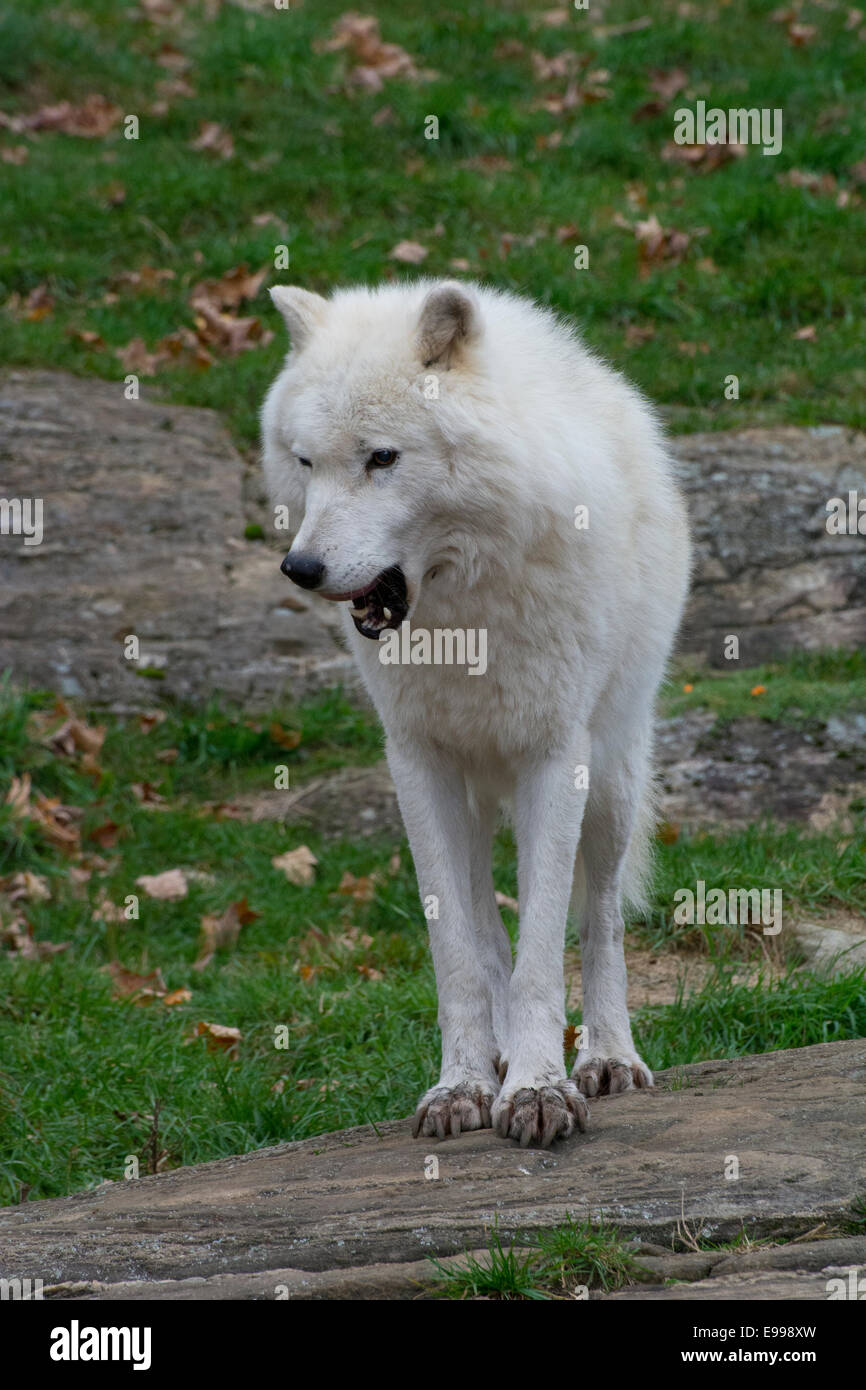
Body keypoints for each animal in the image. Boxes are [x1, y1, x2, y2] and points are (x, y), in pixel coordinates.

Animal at [261, 280, 691, 1148]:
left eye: (382, 457)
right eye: (305, 462)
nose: (301, 568)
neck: (464, 616)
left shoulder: (554, 758)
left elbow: (545, 947)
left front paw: (538, 1089)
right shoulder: (416, 761)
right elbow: (458, 950)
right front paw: (461, 1084)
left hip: (612, 784)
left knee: (602, 921)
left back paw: (608, 1057)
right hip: (472, 793)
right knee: (486, 926)